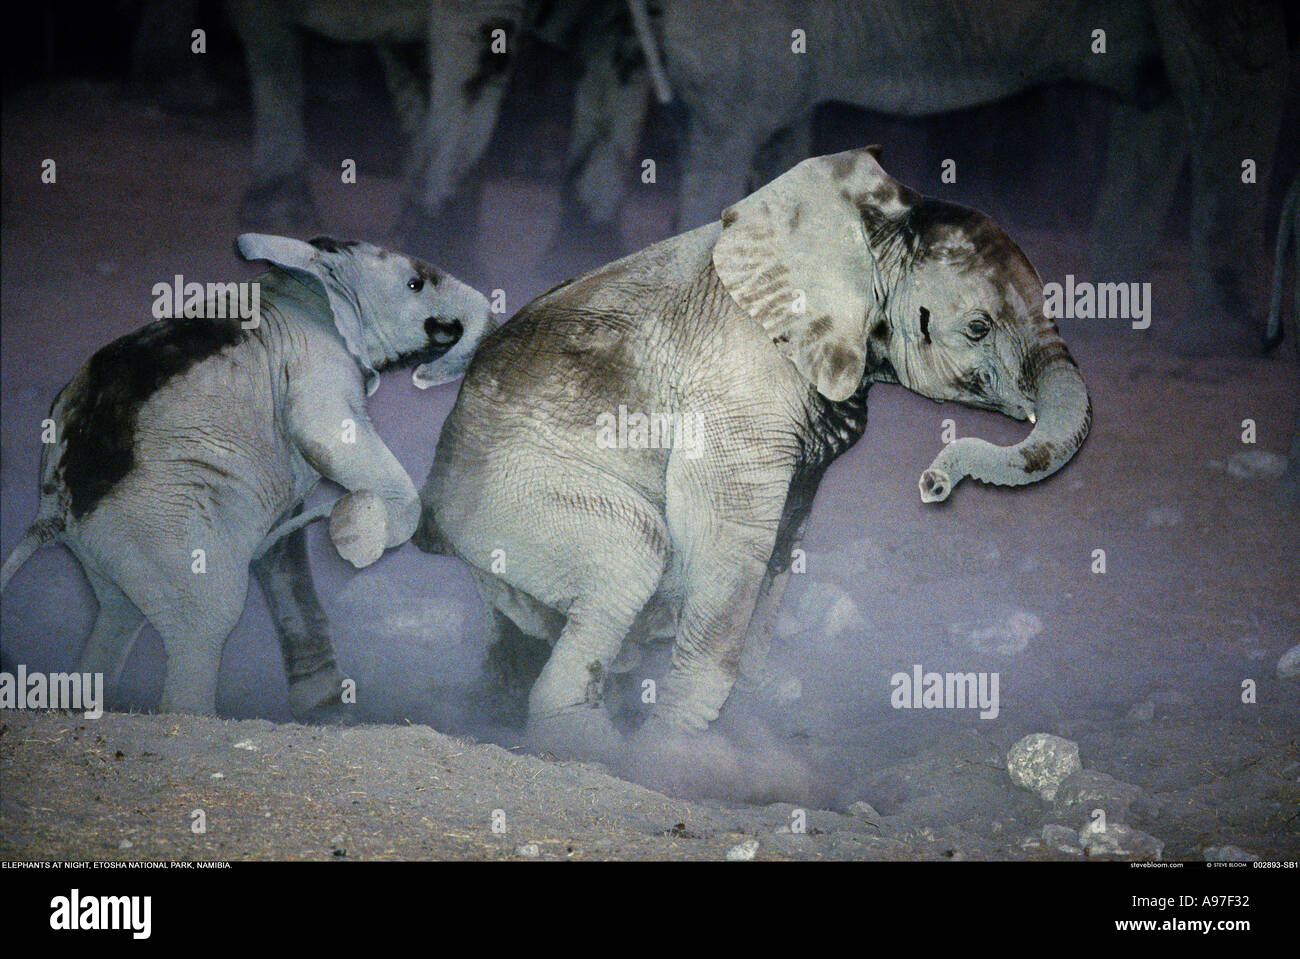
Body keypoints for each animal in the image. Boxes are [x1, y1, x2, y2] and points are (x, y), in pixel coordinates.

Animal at [0, 234, 492, 717]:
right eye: (415, 284)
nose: (422, 379)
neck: (303, 268)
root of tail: (52, 511)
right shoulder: (315, 358)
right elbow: (329, 435)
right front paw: (353, 537)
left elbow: (284, 551)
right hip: (157, 523)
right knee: (207, 617)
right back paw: (192, 720)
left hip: (114, 542)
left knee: (120, 615)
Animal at [406, 146, 1092, 765]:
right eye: (978, 327)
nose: (931, 485)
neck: (863, 232)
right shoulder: (738, 392)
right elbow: (731, 546)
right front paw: (675, 762)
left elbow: (782, 546)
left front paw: (749, 738)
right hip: (506, 490)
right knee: (633, 550)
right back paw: (585, 744)